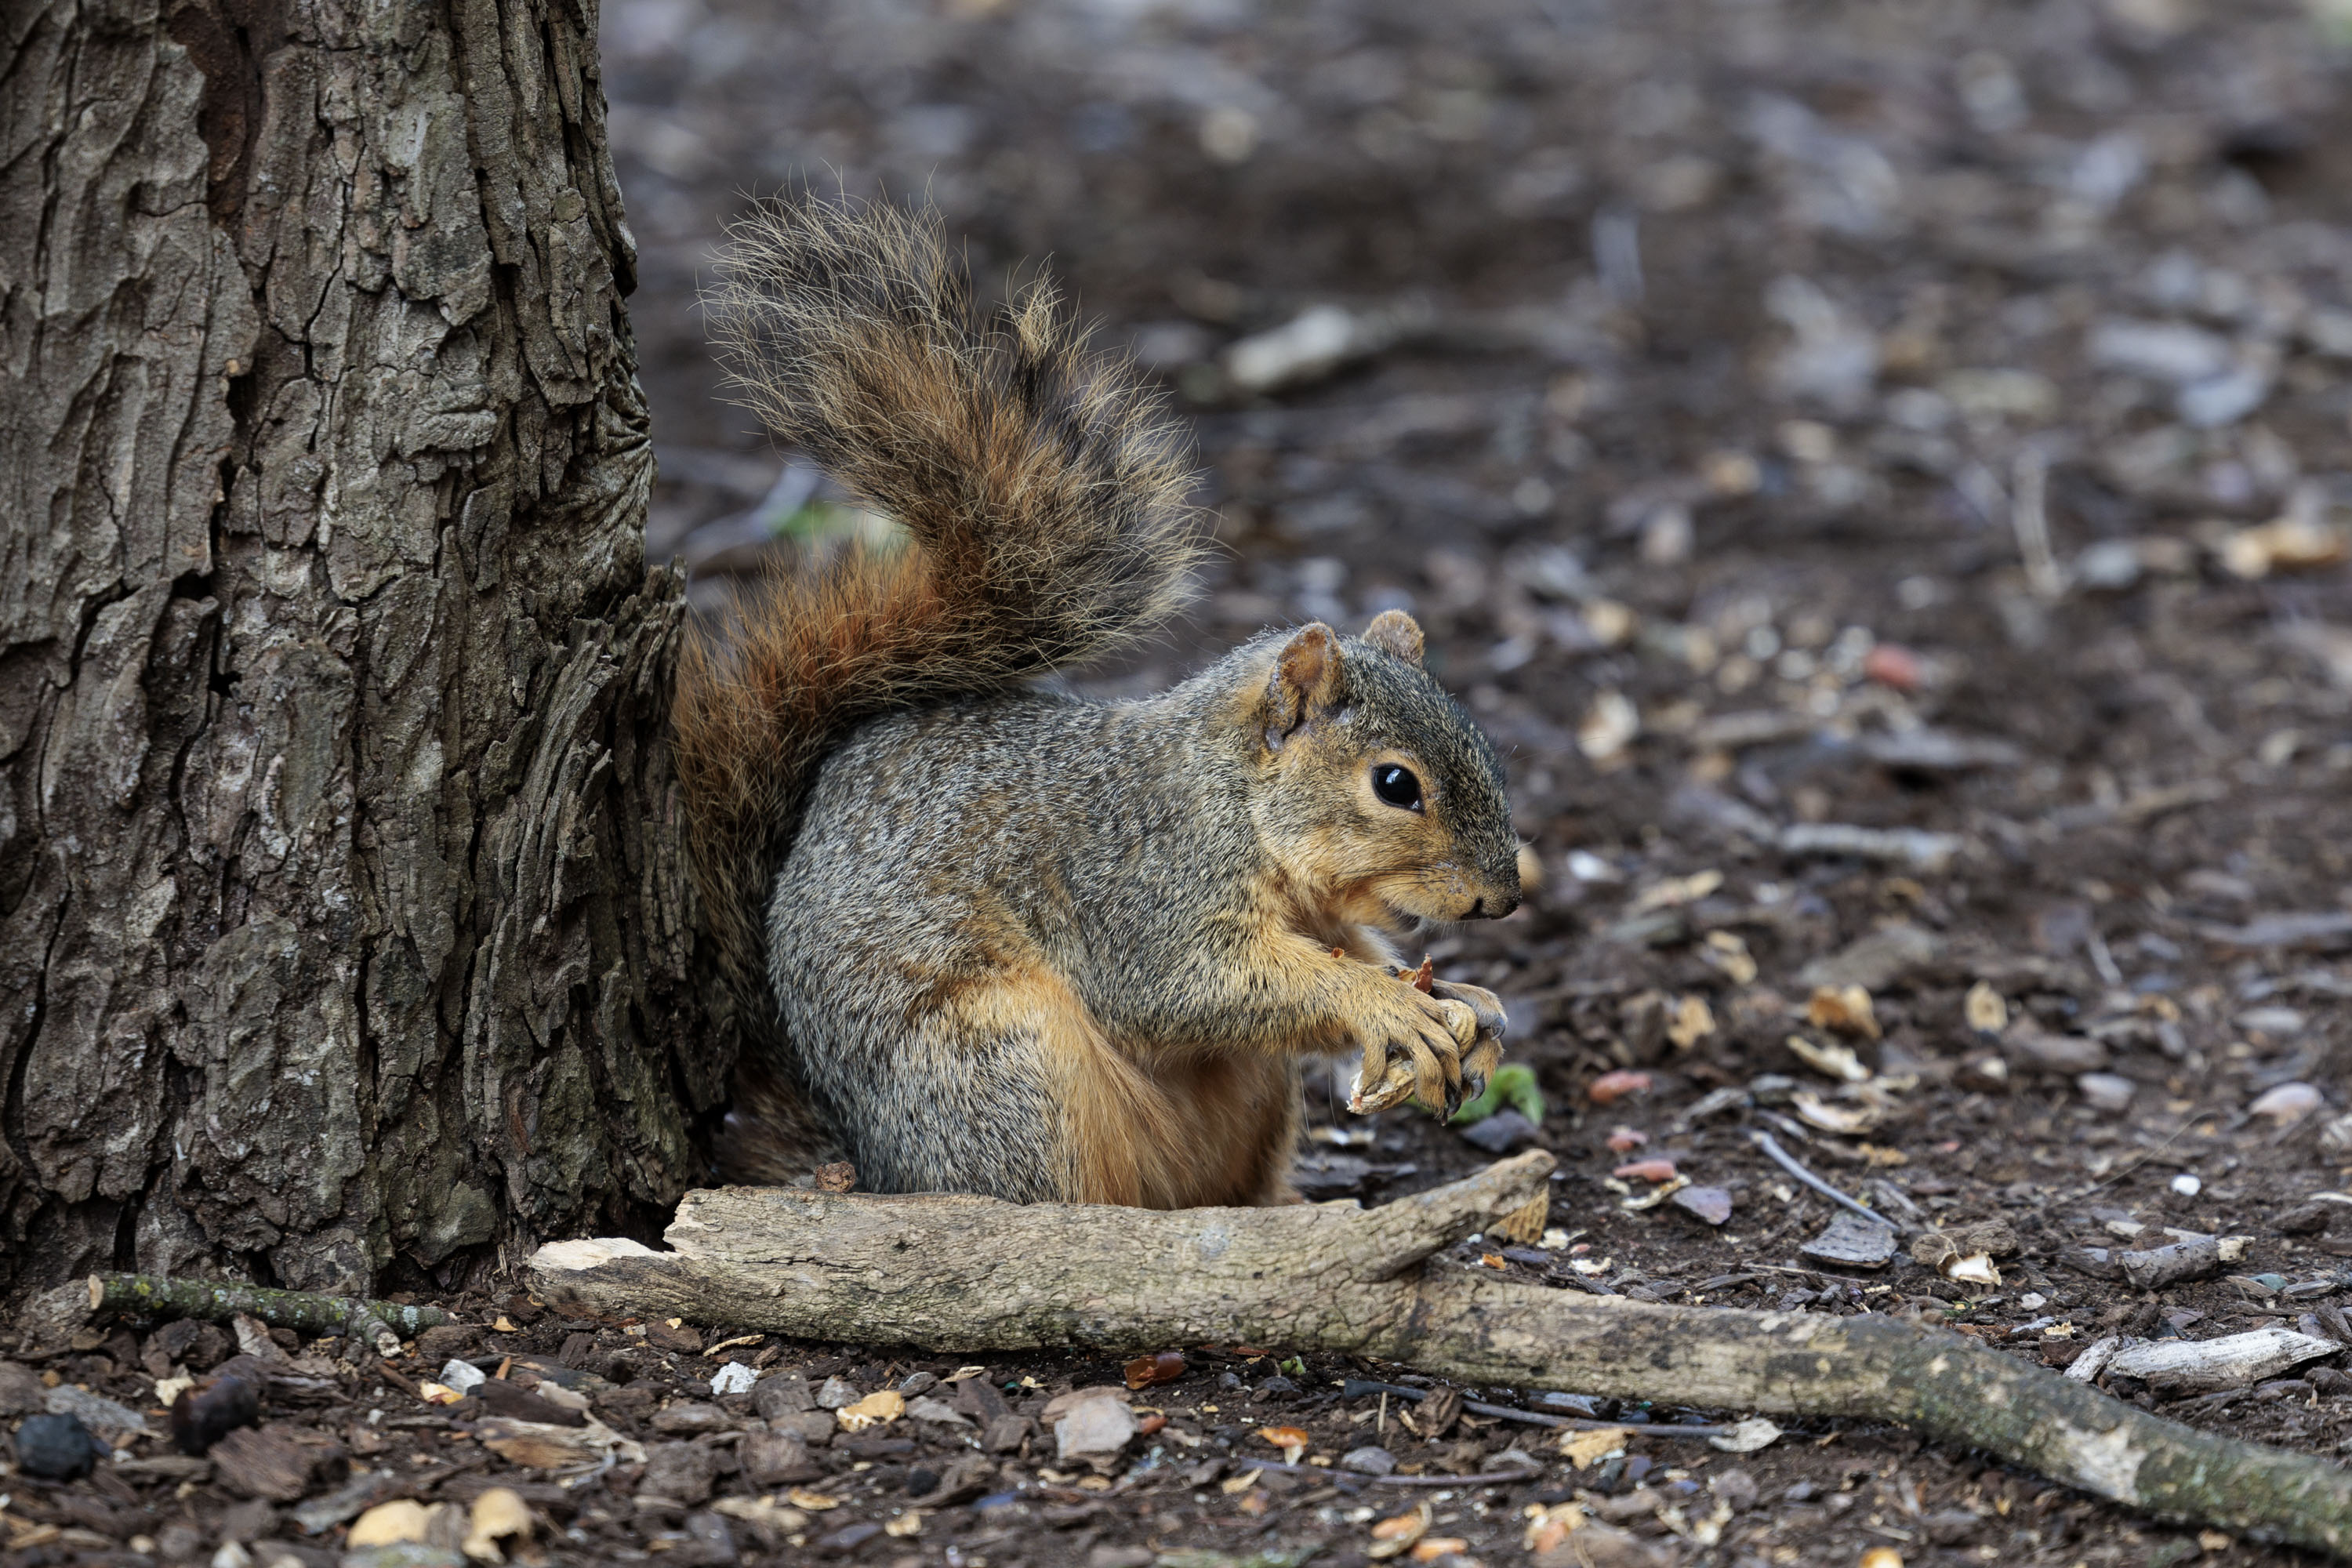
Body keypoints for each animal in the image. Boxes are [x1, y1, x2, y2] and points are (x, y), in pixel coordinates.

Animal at [672, 197, 1523, 1208]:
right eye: (1396, 784)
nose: (1504, 898)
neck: (1234, 802)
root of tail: (865, 1163)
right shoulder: (1140, 887)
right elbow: (1186, 987)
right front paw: (1381, 1000)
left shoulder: (1321, 914)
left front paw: (1469, 1003)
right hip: (1009, 1069)